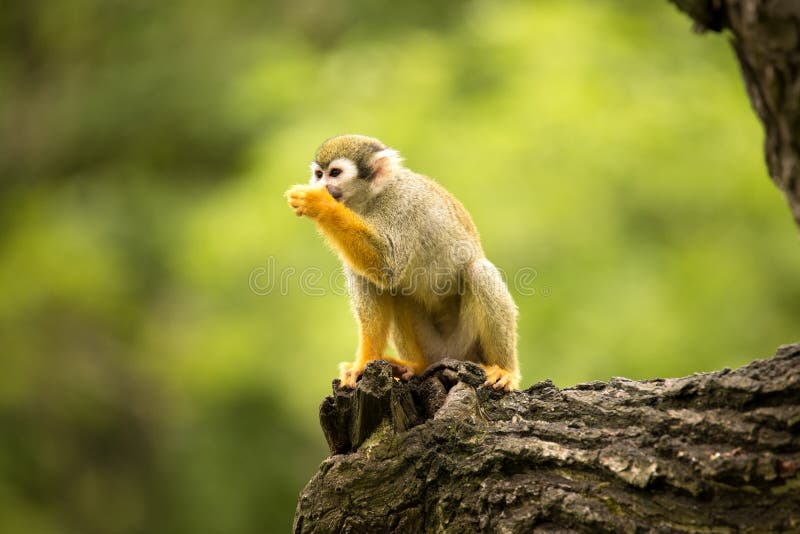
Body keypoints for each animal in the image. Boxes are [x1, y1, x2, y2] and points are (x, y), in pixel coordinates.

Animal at [286, 134, 520, 391]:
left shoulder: (401, 205)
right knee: (399, 291)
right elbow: (374, 280)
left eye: (335, 173)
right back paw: (414, 366)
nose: (321, 185)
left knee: (479, 271)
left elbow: (387, 263)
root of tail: (451, 356)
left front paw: (318, 203)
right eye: (319, 174)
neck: (371, 198)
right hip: (434, 348)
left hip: (467, 345)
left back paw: (505, 370)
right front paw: (364, 362)